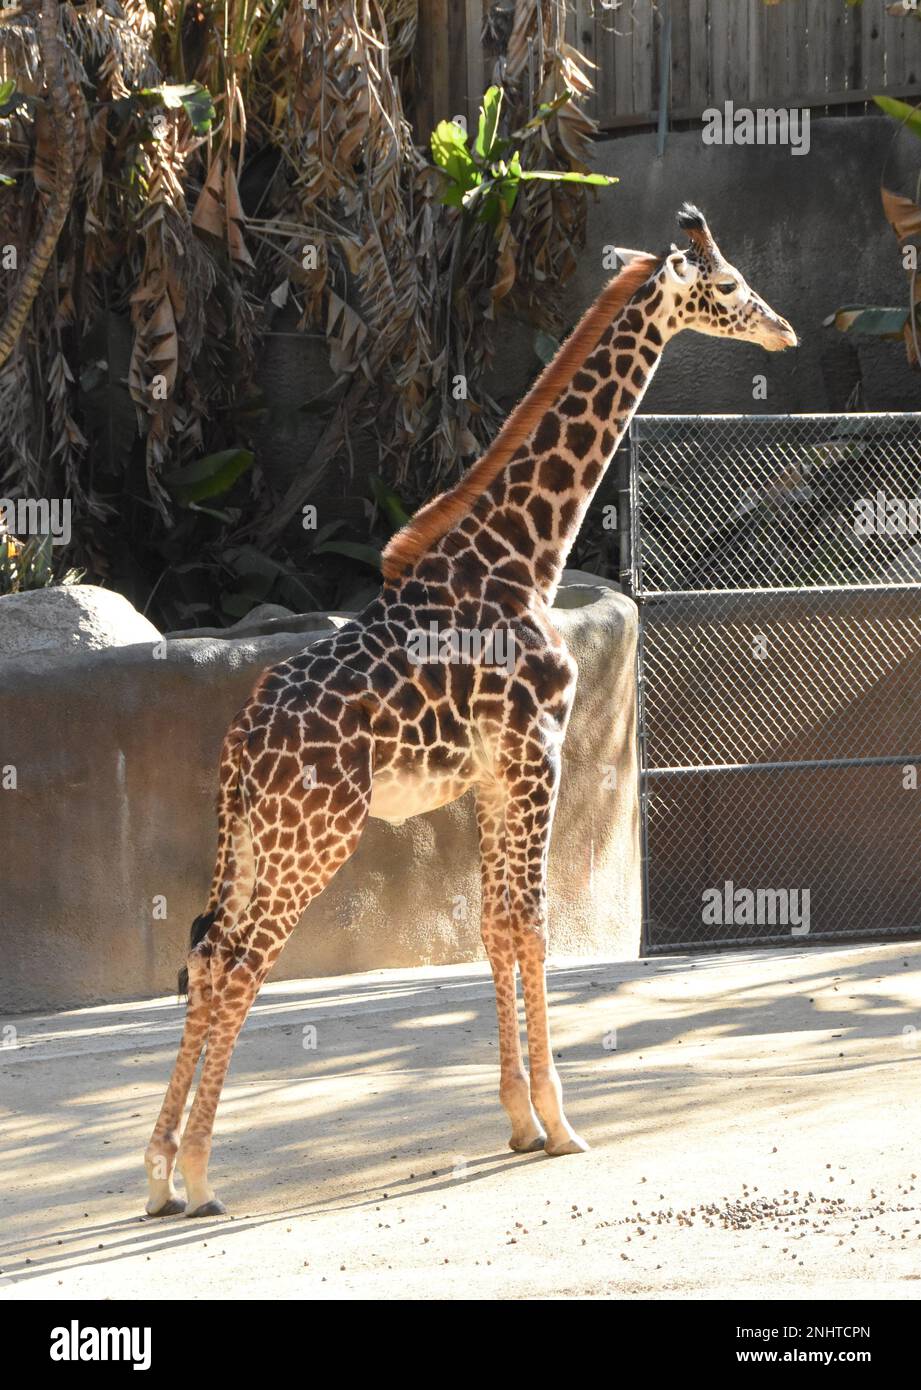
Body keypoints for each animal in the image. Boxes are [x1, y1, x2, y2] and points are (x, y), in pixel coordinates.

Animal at [145, 205, 796, 1217]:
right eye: (727, 285)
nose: (784, 331)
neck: (524, 557)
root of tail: (242, 744)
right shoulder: (538, 754)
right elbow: (533, 923)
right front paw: (562, 1124)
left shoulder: (493, 776)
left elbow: (495, 925)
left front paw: (520, 1121)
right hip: (314, 838)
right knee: (242, 962)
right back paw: (204, 1175)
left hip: (255, 838)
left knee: (209, 954)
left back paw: (159, 1175)